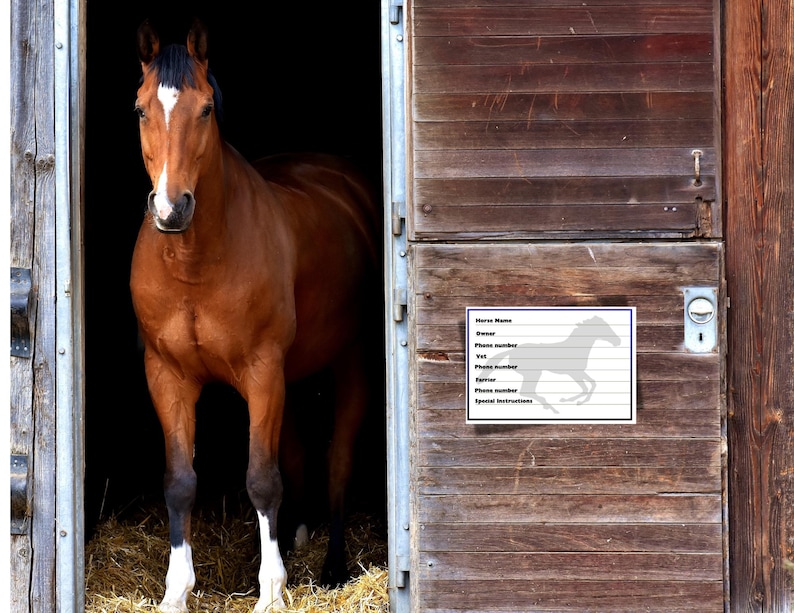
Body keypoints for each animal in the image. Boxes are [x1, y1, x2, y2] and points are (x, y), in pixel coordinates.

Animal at [129, 19, 380, 613]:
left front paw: (271, 591)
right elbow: (180, 480)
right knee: (299, 453)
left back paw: (332, 567)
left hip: (350, 363)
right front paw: (177, 590)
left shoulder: (263, 372)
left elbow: (263, 479)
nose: (171, 209)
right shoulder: (167, 376)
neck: (196, 263)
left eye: (205, 109)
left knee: (338, 459)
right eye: (140, 109)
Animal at [479, 315, 620, 414]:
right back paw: (552, 408)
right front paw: (574, 401)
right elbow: (586, 387)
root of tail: (511, 351)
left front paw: (575, 401)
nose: (618, 341)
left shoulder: (579, 372)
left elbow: (592, 384)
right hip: (533, 374)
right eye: (604, 327)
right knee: (526, 392)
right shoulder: (574, 373)